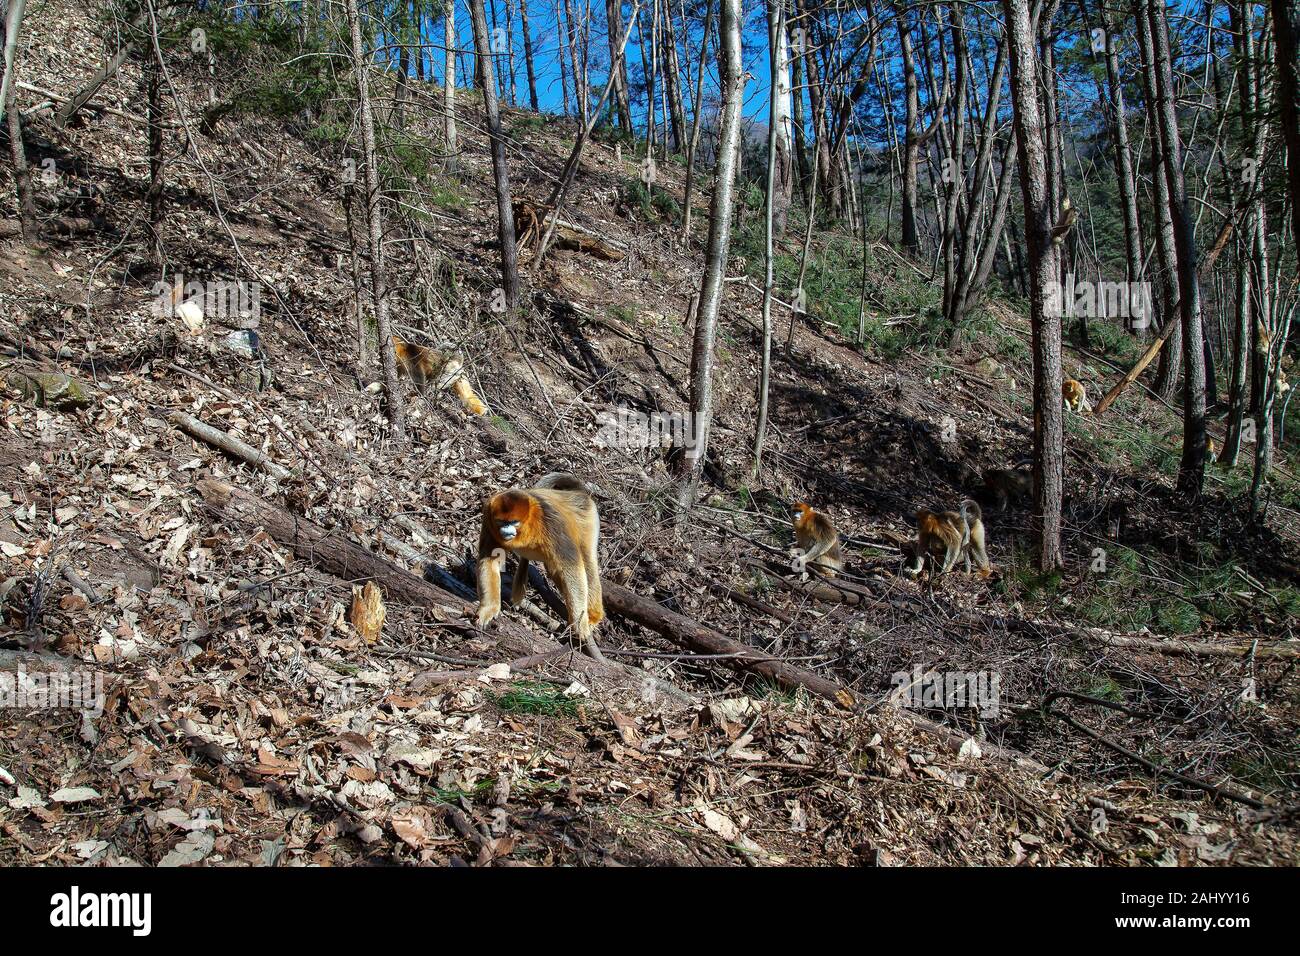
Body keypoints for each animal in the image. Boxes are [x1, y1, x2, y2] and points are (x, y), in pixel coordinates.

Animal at [476, 472, 605, 658]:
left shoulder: (551, 522)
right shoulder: (488, 516)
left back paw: (593, 616)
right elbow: (489, 559)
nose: (506, 531)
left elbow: (572, 566)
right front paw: (488, 608)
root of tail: (577, 493)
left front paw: (579, 625)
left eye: (513, 522)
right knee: (556, 571)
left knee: (587, 561)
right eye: (501, 522)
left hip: (588, 520)